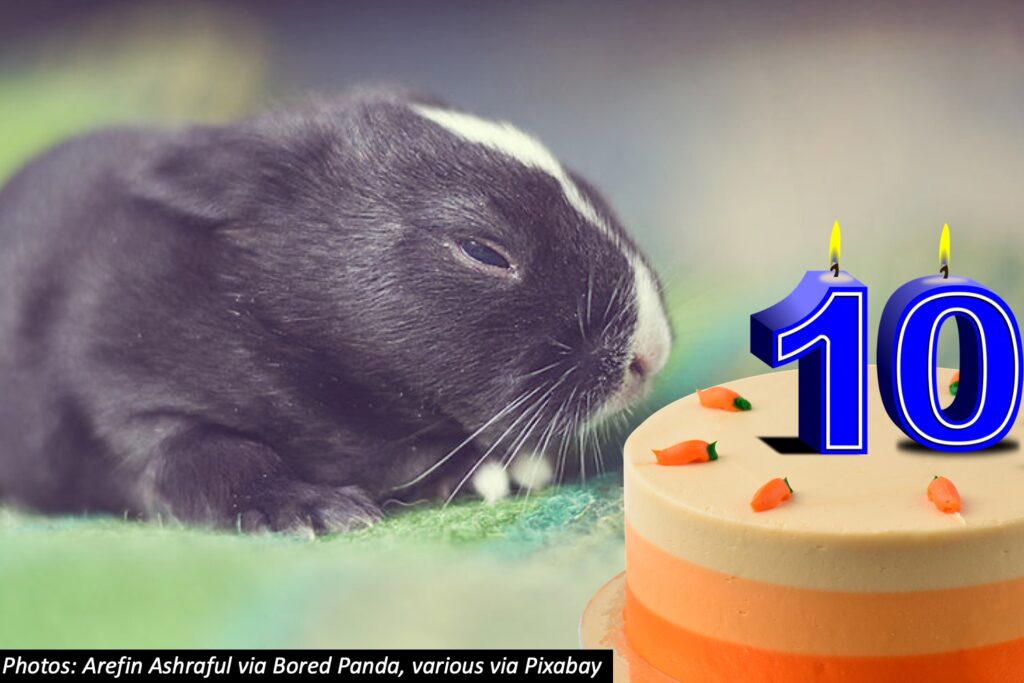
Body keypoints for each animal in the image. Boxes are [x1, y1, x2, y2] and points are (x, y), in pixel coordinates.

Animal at [0, 87, 672, 534]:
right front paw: (311, 509)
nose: (651, 354)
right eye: (482, 250)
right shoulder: (137, 401)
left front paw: (494, 470)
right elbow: (218, 459)